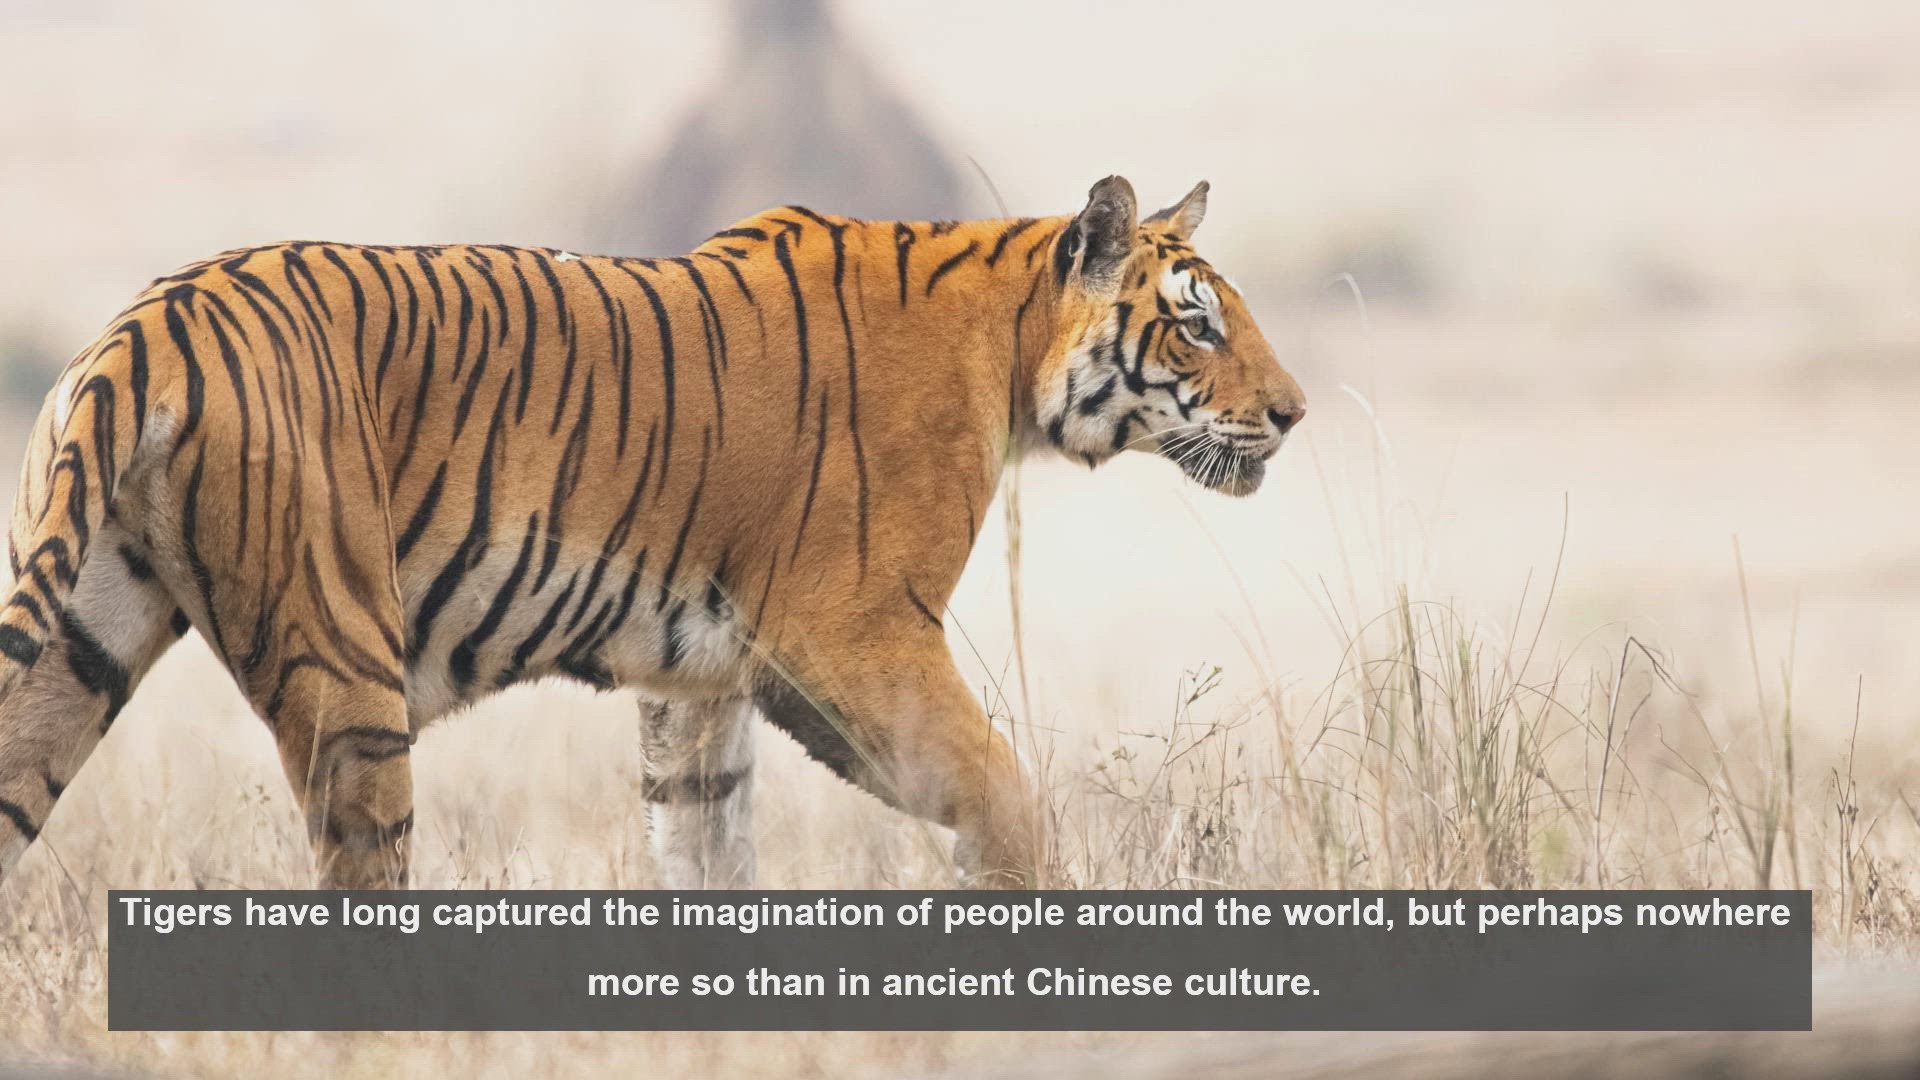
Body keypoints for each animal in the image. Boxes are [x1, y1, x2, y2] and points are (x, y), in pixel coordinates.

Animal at [0, 175, 1304, 890]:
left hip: (80, 635)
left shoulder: (701, 680)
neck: (1013, 350)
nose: (1293, 413)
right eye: (1196, 324)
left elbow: (703, 846)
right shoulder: (854, 637)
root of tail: (148, 323)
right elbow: (1000, 789)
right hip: (346, 674)